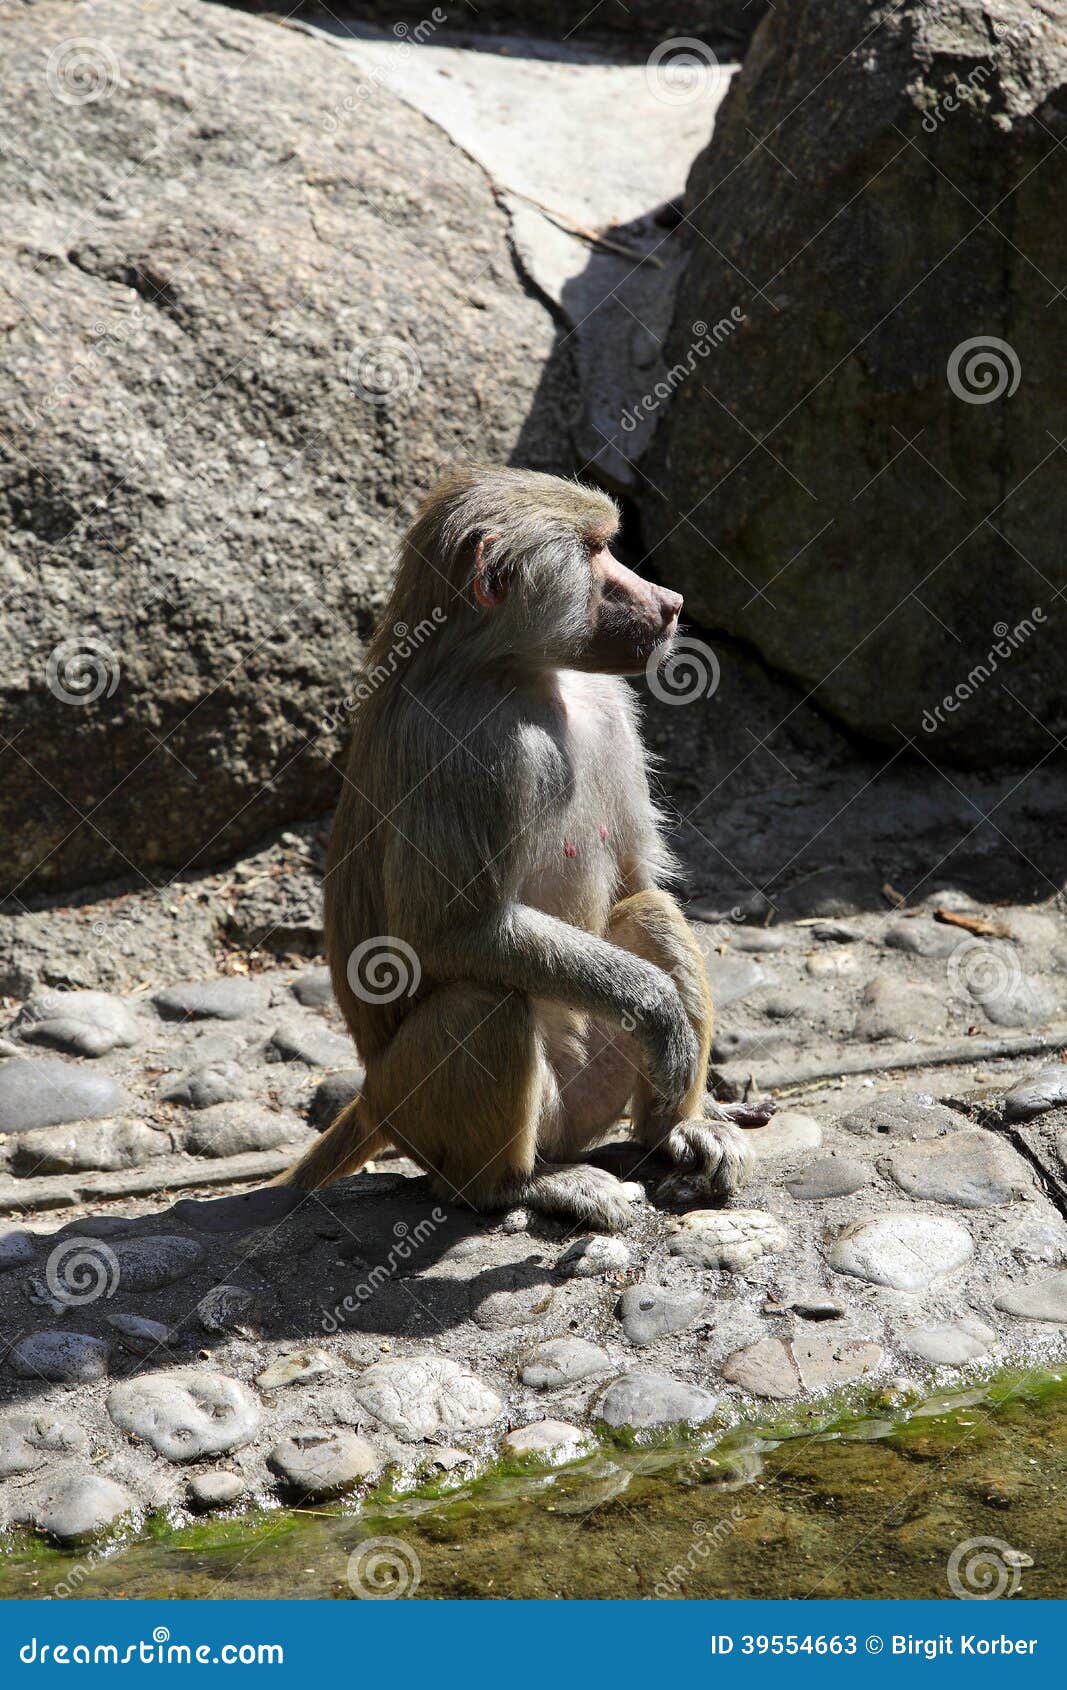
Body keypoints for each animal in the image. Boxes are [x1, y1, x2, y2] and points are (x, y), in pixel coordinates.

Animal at [278, 465, 769, 1230]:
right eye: (595, 551)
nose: (670, 604)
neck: (511, 672)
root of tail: (374, 1102)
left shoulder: (611, 706)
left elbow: (637, 886)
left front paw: (698, 1101)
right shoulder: (459, 751)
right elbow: (450, 932)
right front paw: (659, 1010)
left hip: (585, 1099)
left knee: (648, 914)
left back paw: (674, 1131)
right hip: (429, 1111)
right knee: (485, 1004)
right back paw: (517, 1187)